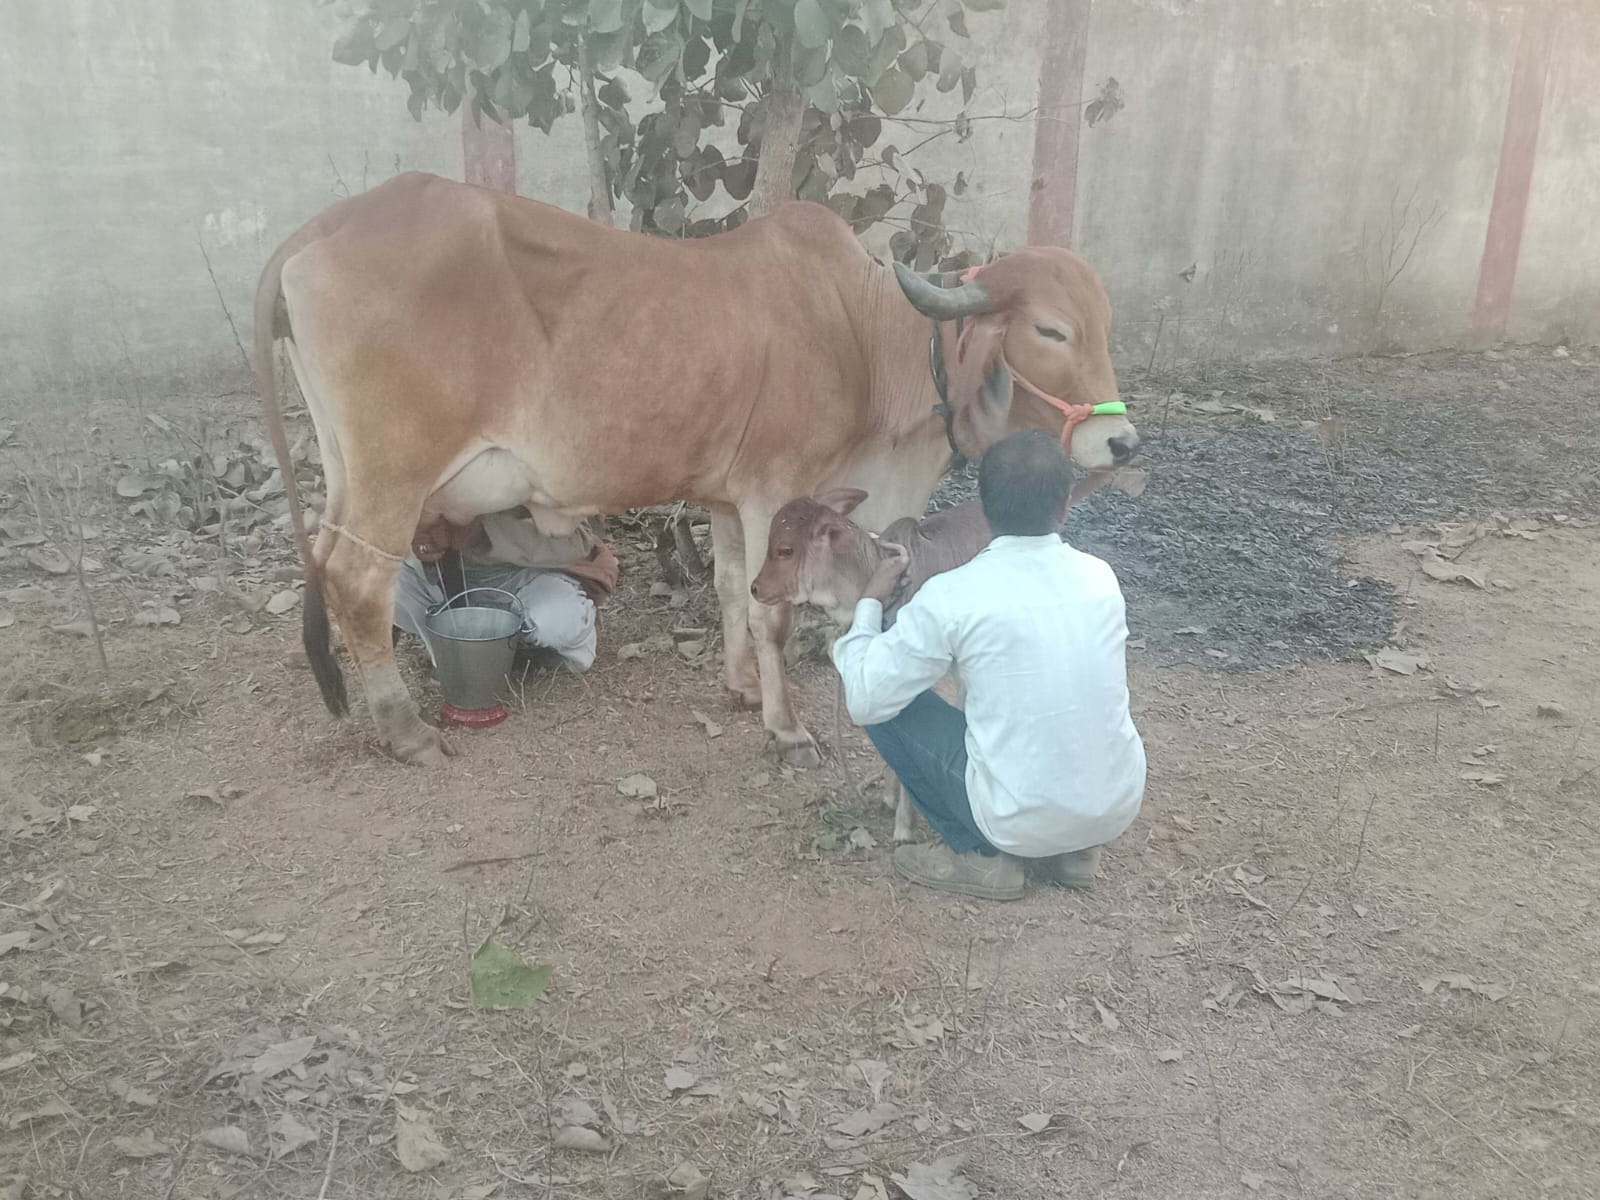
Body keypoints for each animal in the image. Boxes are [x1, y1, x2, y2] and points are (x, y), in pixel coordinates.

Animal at [252, 171, 1139, 767]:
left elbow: (732, 590)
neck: (860, 332)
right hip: (394, 476)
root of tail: (316, 230)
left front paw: (743, 688)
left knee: (330, 570)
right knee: (359, 587)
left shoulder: (727, 498)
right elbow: (772, 613)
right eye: (1052, 331)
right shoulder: (778, 490)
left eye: (1103, 324)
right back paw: (406, 733)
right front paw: (787, 728)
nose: (1120, 444)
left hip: (348, 470)